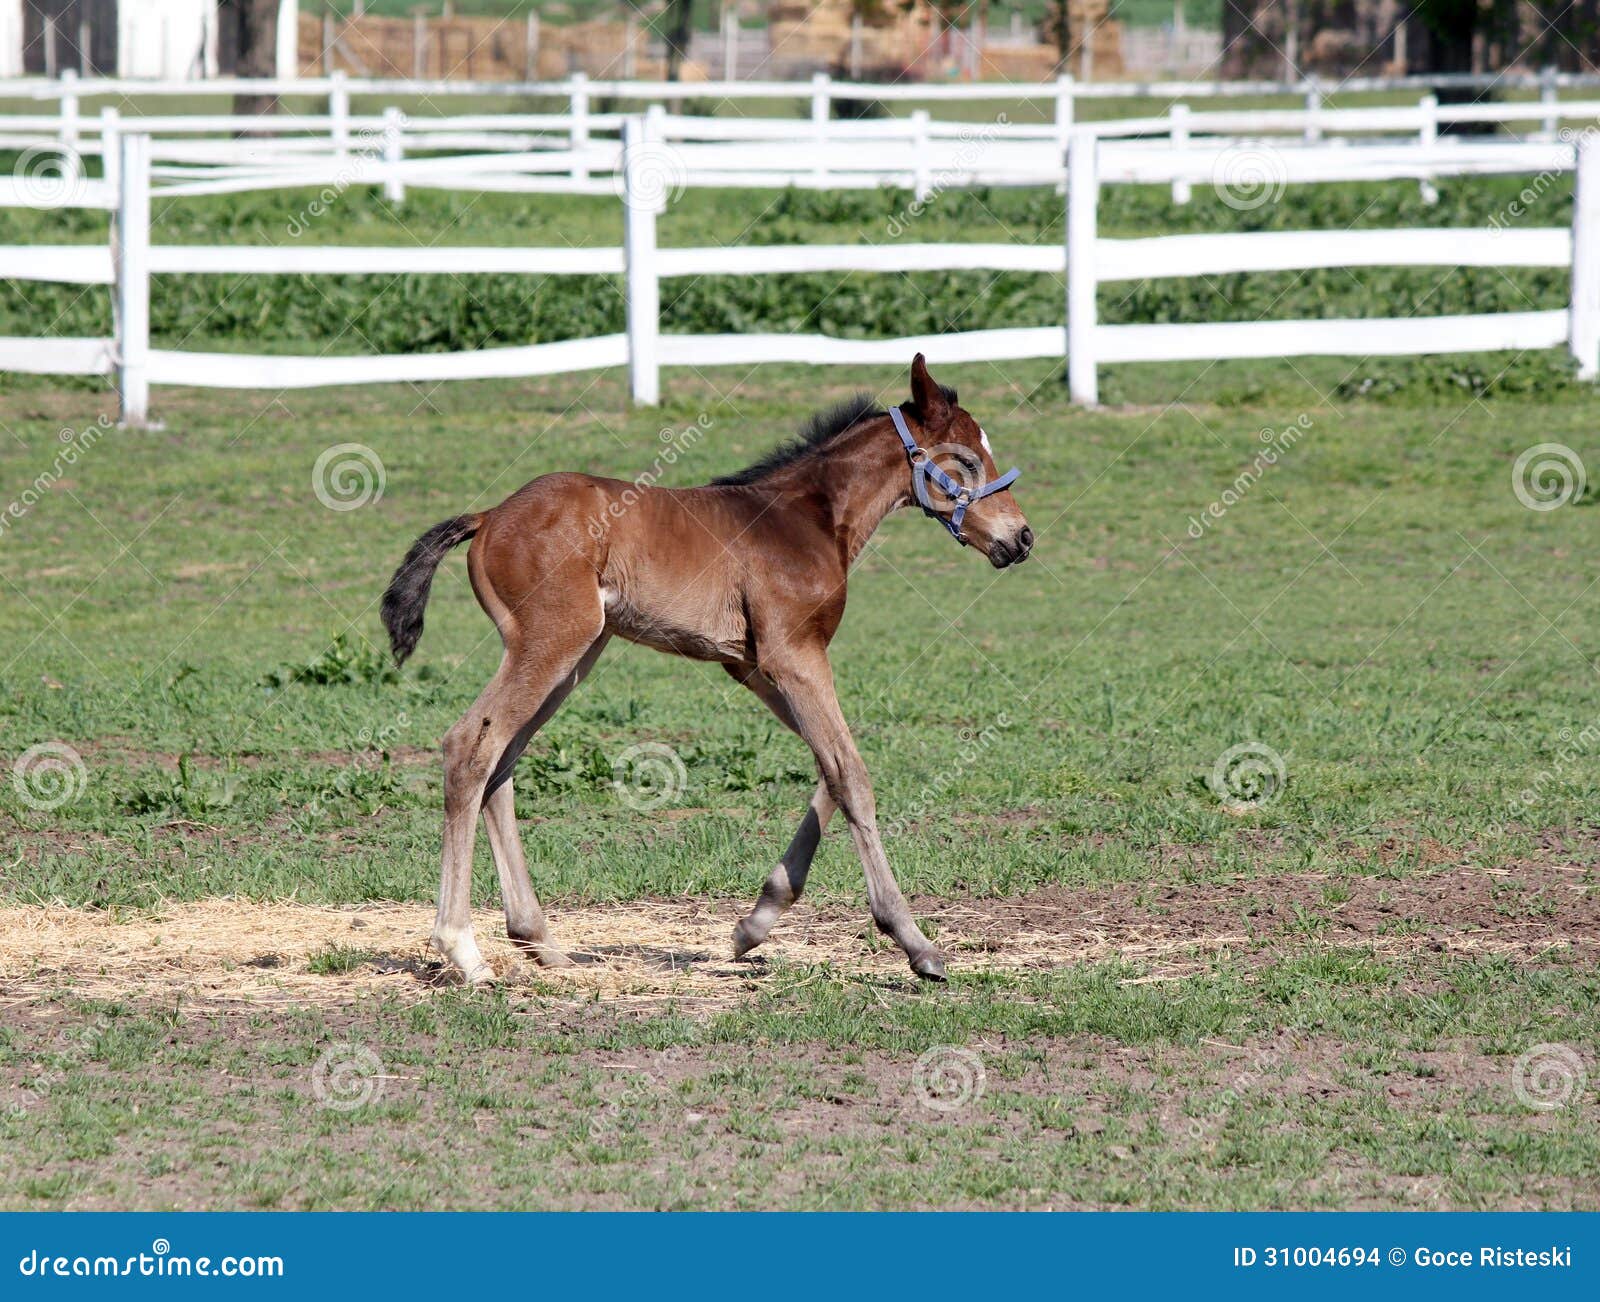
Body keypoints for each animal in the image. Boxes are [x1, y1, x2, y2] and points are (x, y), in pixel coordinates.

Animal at [380, 354, 1032, 985]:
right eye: (967, 458)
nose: (1021, 538)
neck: (810, 519)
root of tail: (490, 515)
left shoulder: (751, 664)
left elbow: (828, 765)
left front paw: (754, 924)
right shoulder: (795, 655)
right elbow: (851, 775)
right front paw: (915, 943)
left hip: (573, 658)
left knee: (502, 763)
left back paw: (540, 940)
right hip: (553, 642)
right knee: (469, 746)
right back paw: (463, 951)